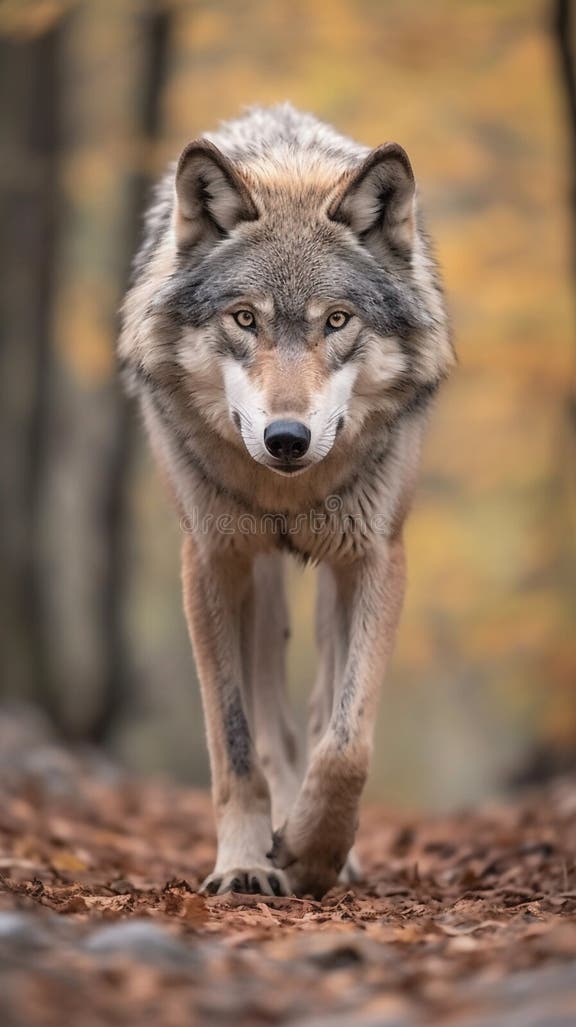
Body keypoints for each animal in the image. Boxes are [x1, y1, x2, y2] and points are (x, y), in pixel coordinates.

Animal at [119, 103, 454, 899]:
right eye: (245, 319)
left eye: (337, 320)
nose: (287, 437)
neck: (286, 490)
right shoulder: (210, 564)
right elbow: (235, 743)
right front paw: (245, 861)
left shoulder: (377, 559)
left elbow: (347, 742)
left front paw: (313, 852)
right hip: (260, 587)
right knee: (276, 722)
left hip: (333, 582)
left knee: (322, 707)